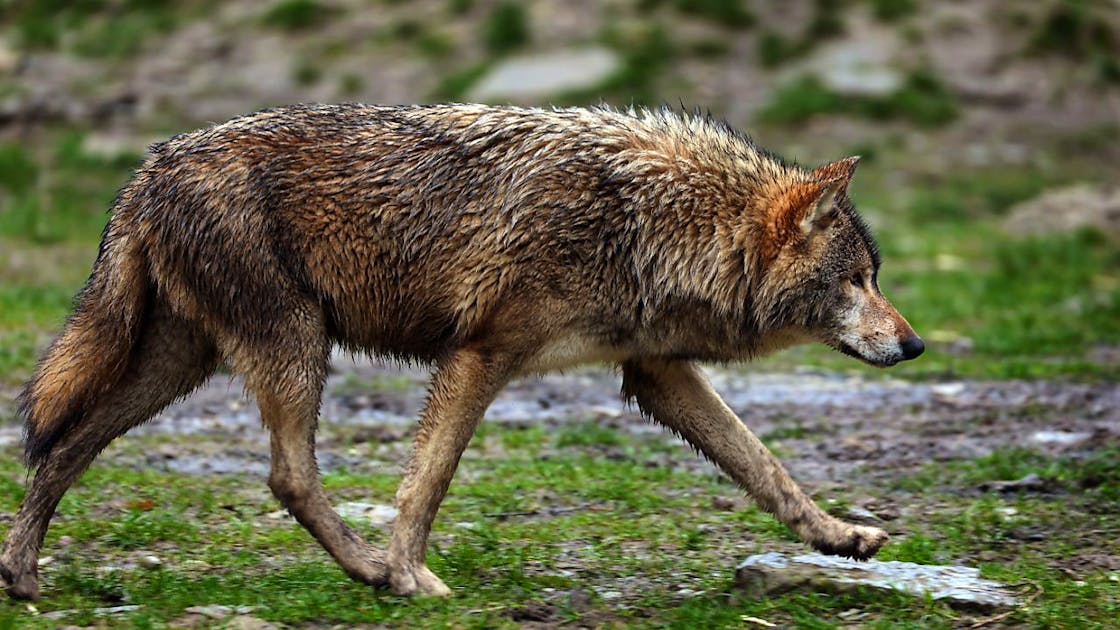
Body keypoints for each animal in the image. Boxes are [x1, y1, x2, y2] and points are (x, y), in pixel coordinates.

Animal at [1, 103, 923, 600]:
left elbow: (766, 467)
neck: (650, 223)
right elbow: (428, 483)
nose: (915, 344)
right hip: (293, 348)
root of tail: (147, 168)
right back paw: (371, 571)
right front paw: (411, 577)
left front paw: (841, 537)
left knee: (64, 446)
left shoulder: (655, 373)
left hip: (183, 364)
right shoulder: (481, 355)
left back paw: (23, 576)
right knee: (286, 476)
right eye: (860, 279)